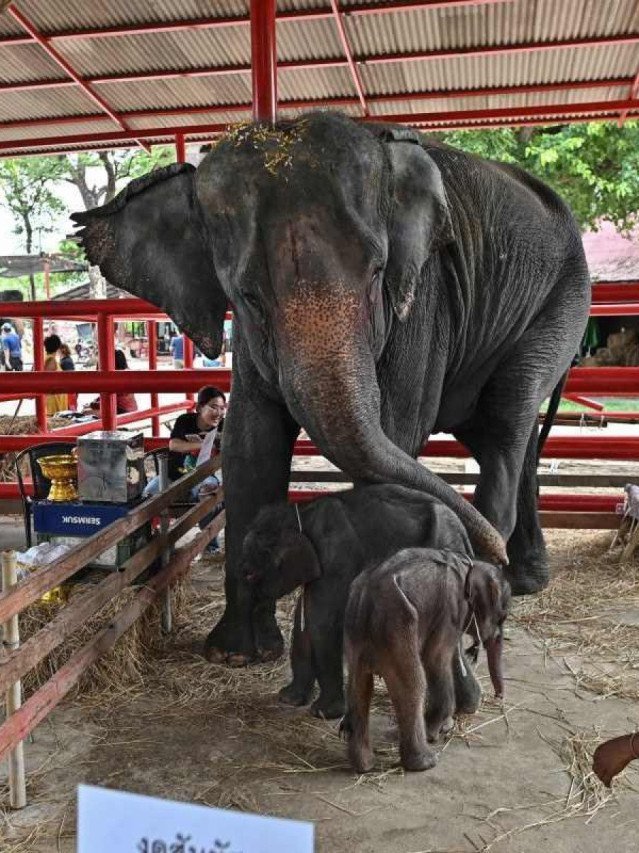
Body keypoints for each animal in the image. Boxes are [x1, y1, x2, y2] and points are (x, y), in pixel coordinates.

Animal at [71, 111, 590, 665]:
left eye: (378, 274)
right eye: (248, 296)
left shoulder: (423, 301)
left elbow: (393, 433)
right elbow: (249, 446)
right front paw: (238, 654)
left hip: (562, 305)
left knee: (505, 427)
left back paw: (487, 597)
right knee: (512, 440)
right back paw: (520, 579)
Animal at [240, 483, 480, 719]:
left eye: (251, 575)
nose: (259, 654)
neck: (302, 512)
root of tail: (464, 535)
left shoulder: (337, 558)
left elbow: (321, 622)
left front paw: (323, 712)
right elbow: (305, 619)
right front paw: (288, 699)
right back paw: (468, 707)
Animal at [340, 549, 510, 773]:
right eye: (502, 617)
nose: (499, 697)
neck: (470, 565)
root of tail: (366, 600)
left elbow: (452, 655)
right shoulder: (450, 608)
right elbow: (437, 657)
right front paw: (435, 732)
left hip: (356, 632)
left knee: (358, 685)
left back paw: (364, 765)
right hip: (398, 626)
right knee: (412, 685)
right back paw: (426, 762)